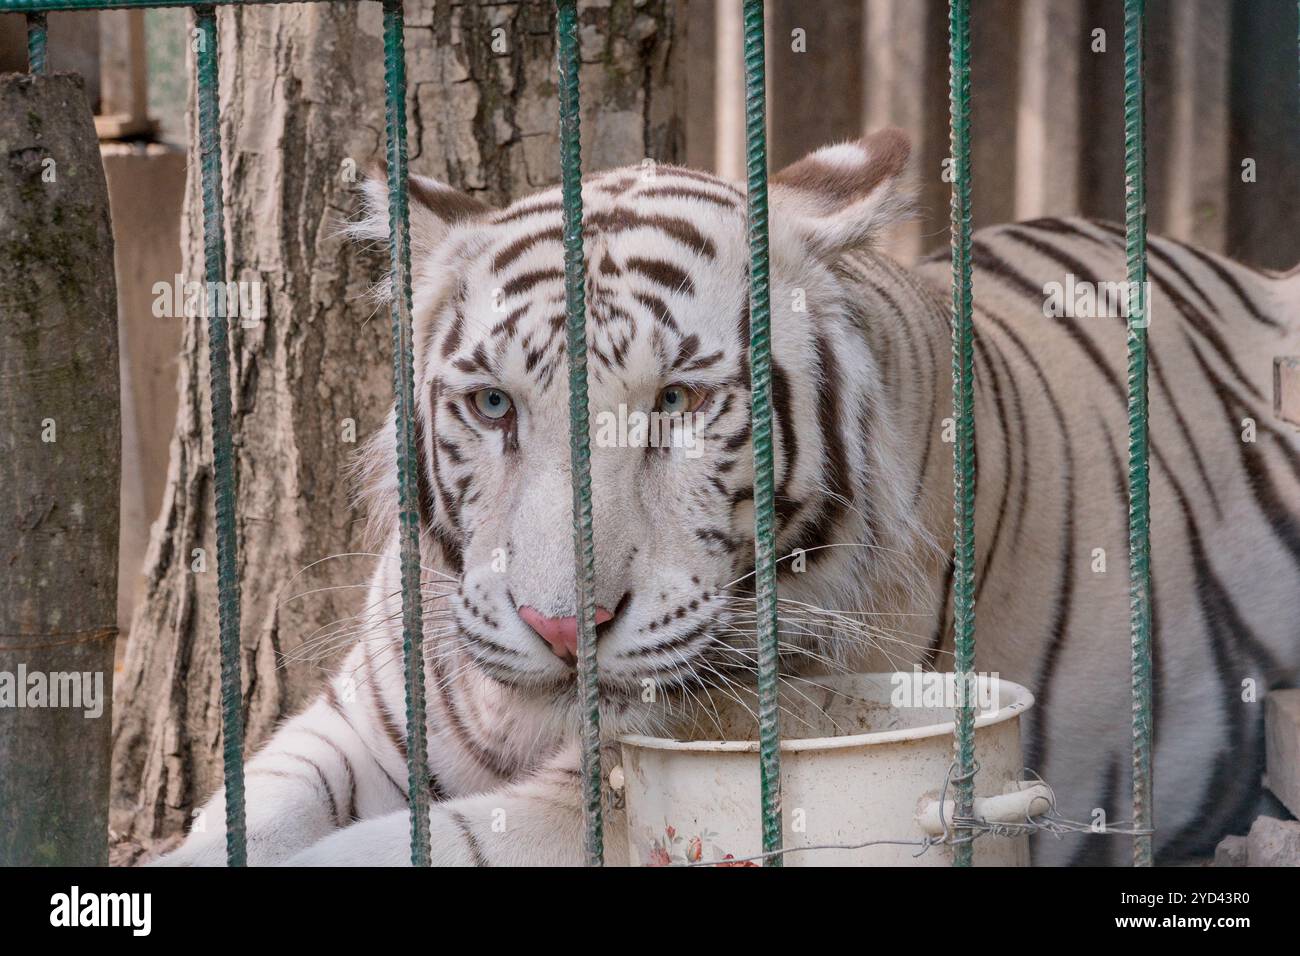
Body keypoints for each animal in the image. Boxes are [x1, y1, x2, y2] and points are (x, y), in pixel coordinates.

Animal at [156, 128, 1300, 867]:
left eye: (676, 401)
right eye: (491, 404)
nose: (563, 629)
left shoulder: (614, 788)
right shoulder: (360, 720)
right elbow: (235, 819)